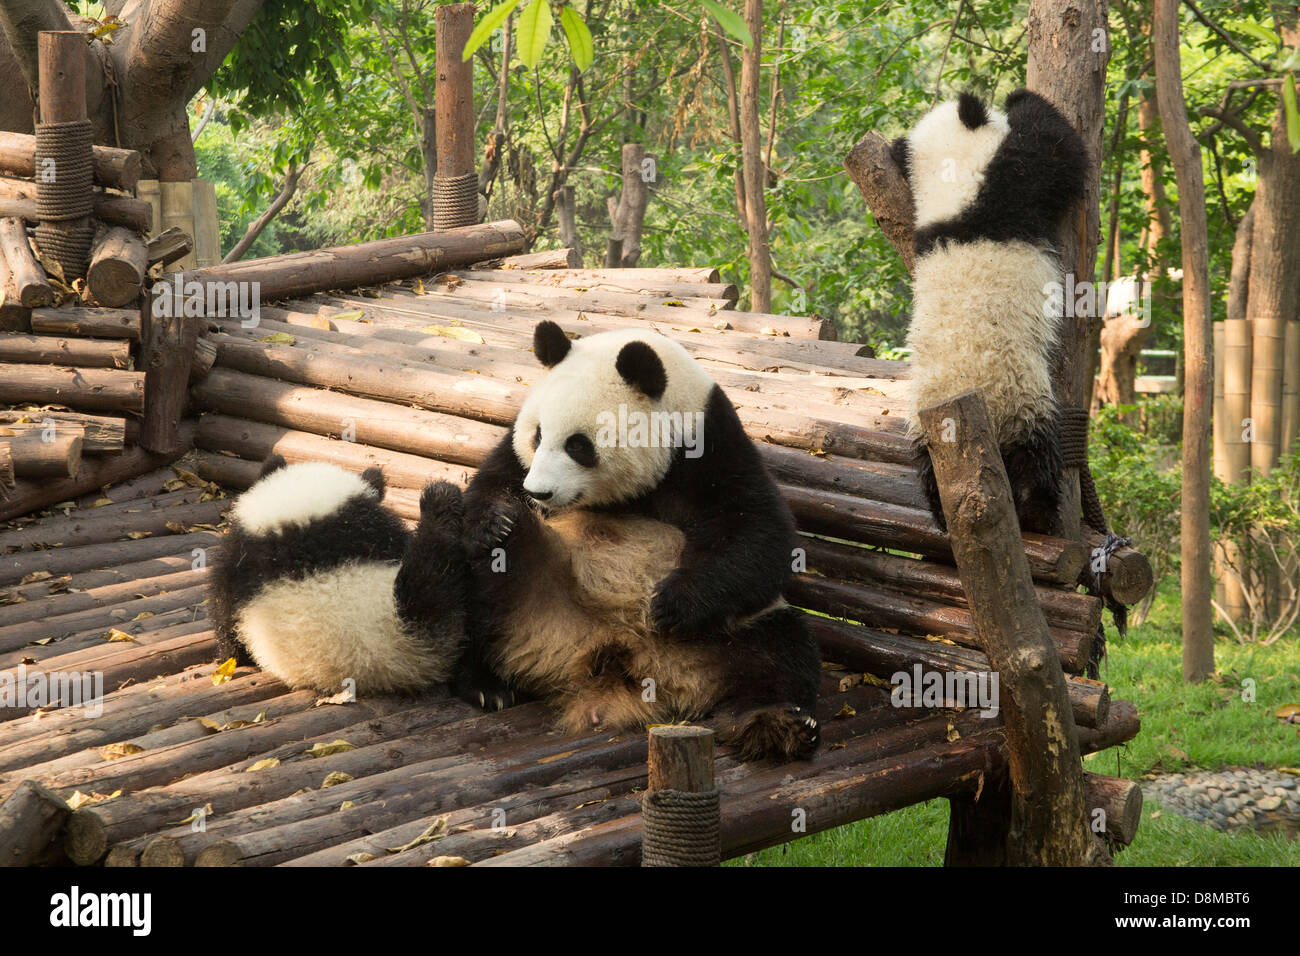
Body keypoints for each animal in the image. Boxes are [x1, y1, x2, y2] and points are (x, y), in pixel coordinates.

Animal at [450, 320, 823, 761]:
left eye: (578, 445)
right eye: (537, 436)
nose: (539, 493)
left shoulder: (711, 446)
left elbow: (760, 534)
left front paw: (671, 603)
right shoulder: (514, 455)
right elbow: (492, 484)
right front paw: (495, 521)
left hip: (735, 630)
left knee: (781, 655)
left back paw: (776, 724)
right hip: (539, 590)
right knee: (484, 583)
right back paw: (486, 684)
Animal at [890, 89, 1086, 535]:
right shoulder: (1009, 179)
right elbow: (1059, 151)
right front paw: (1020, 98)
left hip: (925, 428)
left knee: (932, 474)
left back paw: (943, 516)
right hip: (1022, 399)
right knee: (1033, 459)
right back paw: (1038, 512)